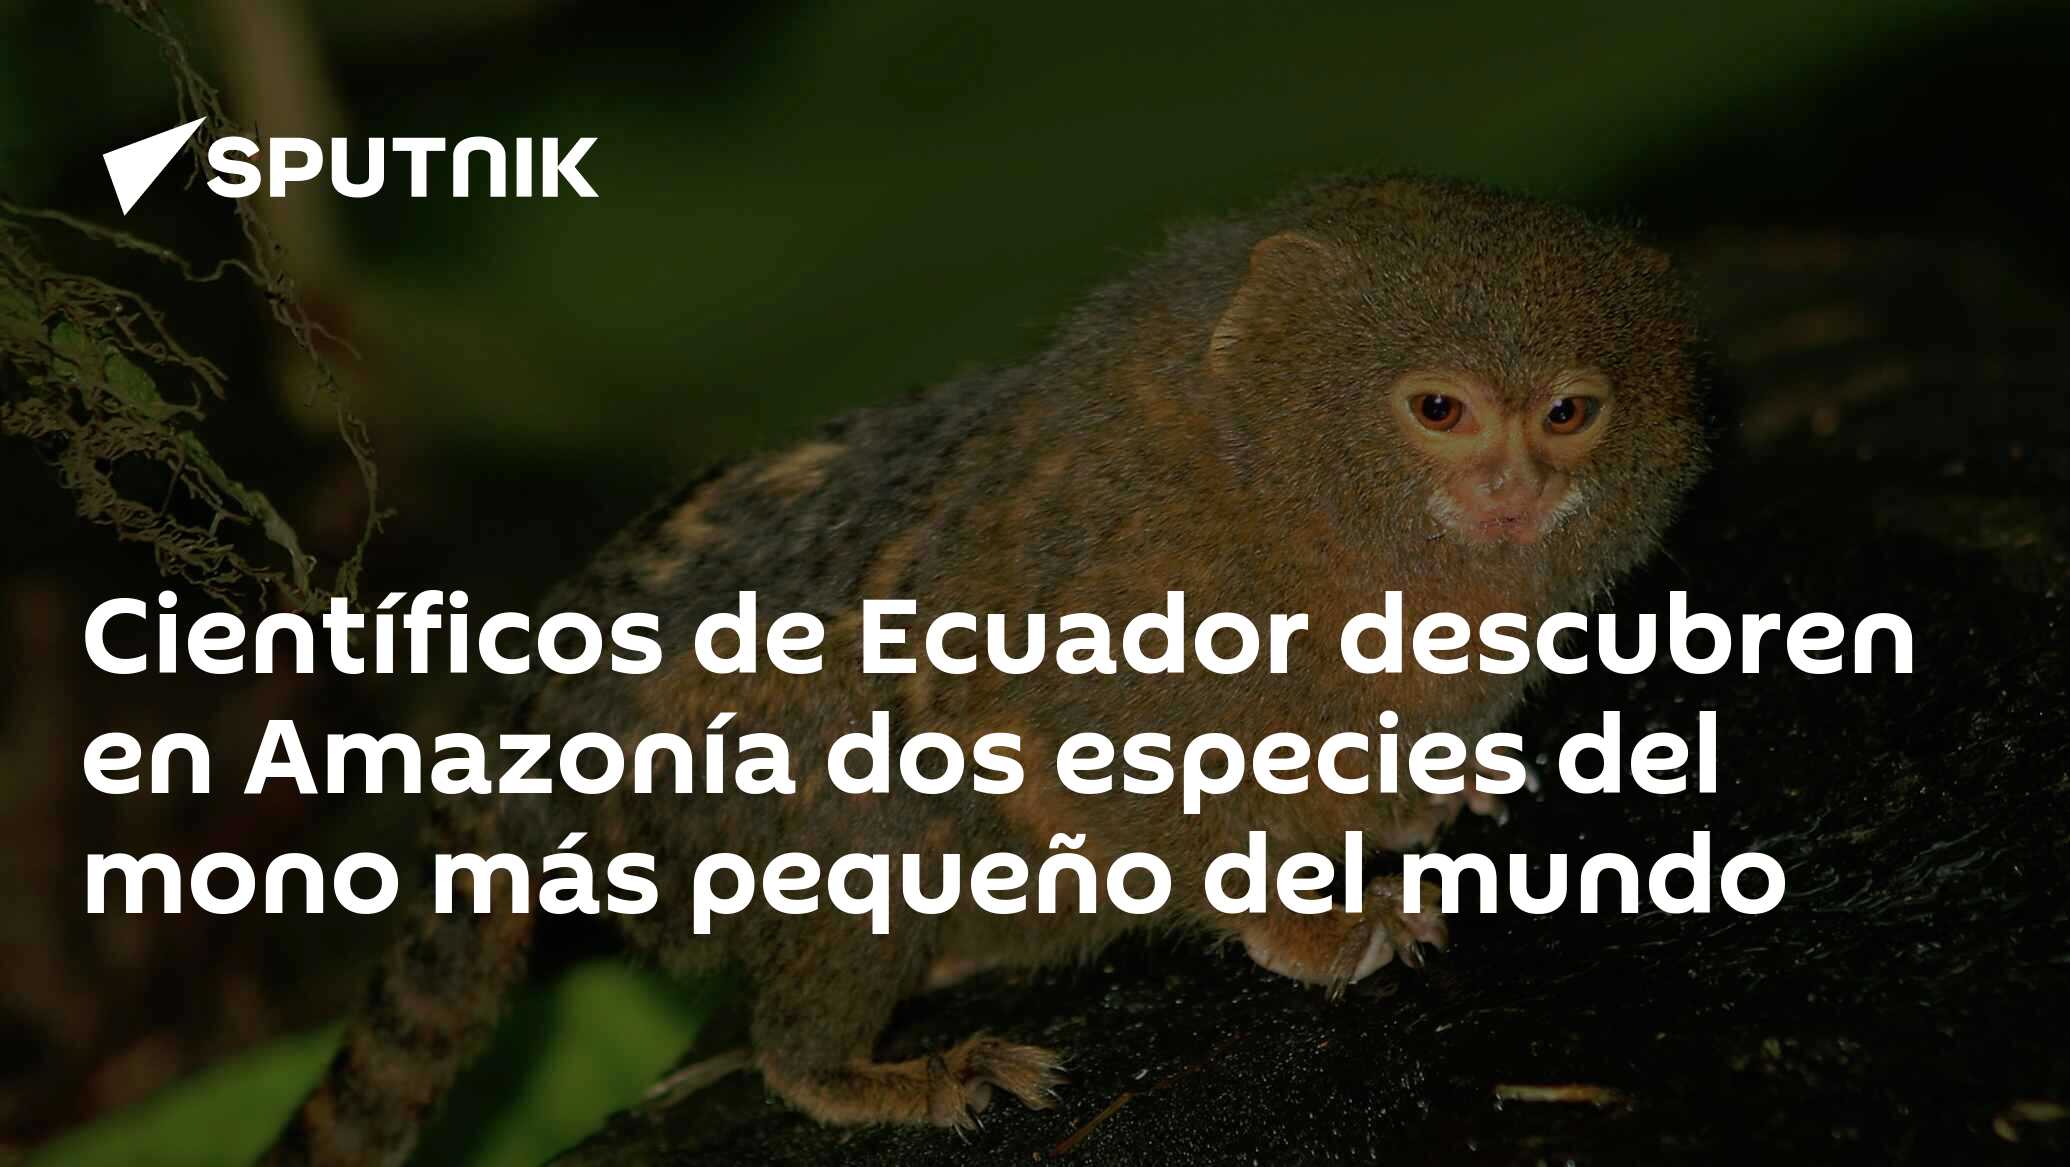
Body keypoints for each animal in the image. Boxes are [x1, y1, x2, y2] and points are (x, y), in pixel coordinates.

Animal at [258, 175, 1705, 1165]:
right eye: (1440, 409)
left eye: (1570, 412)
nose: (1517, 488)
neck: (1284, 498)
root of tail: (526, 747)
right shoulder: (1128, 593)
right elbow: (1058, 747)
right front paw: (1311, 922)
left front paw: (1418, 798)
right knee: (870, 812)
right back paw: (845, 1066)